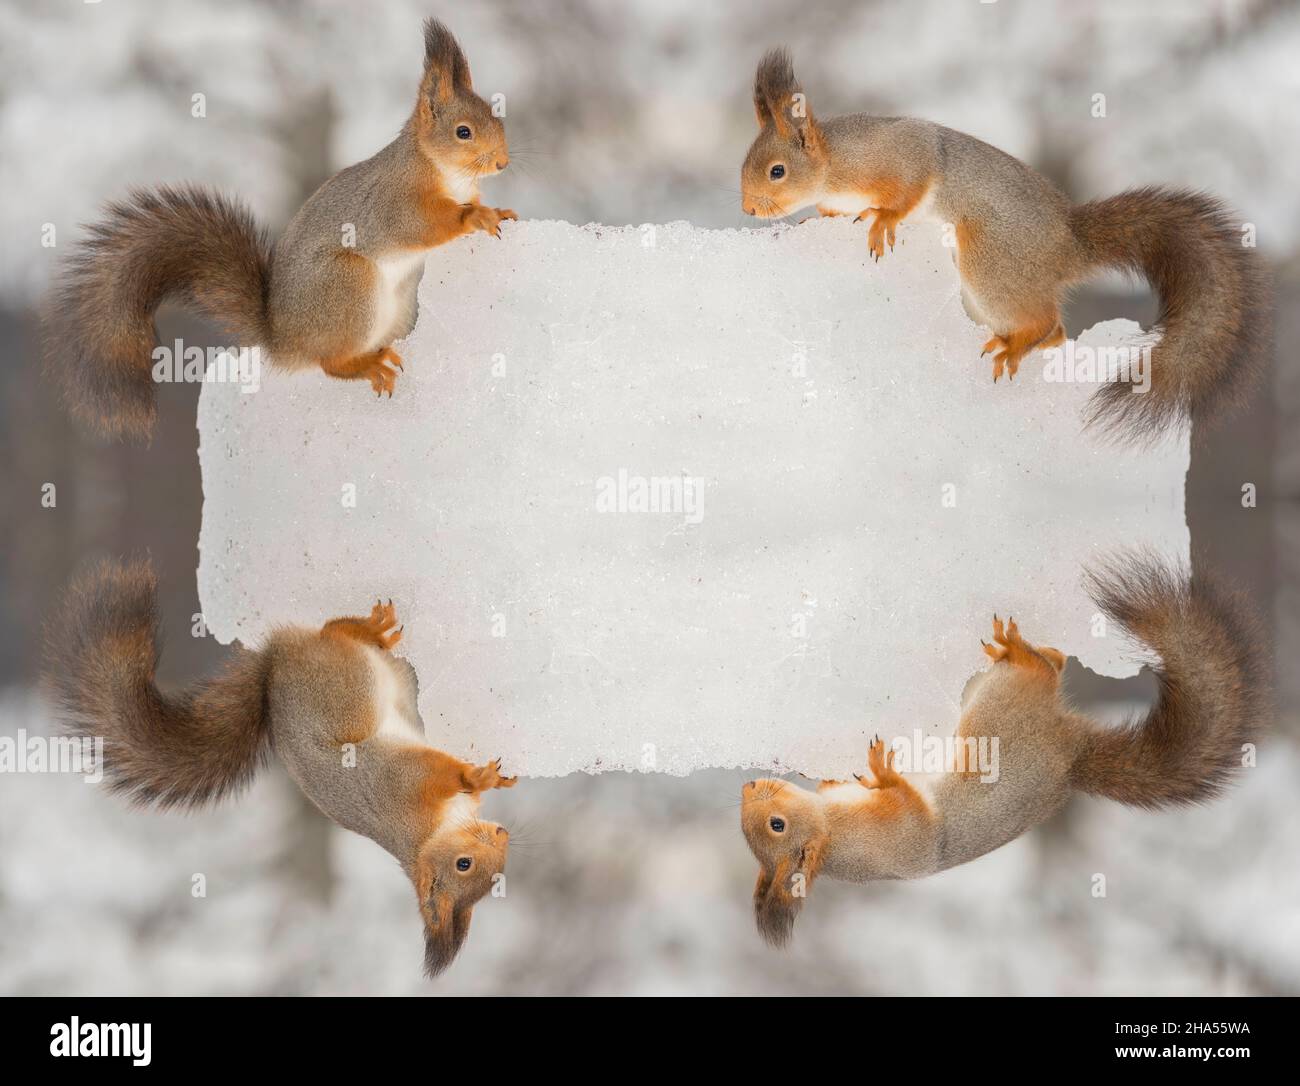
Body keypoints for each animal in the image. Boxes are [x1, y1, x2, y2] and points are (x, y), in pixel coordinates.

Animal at [42, 558, 517, 978]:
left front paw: (494, 781)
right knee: (334, 633)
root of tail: (273, 675)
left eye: (500, 866)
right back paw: (372, 628)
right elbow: (441, 773)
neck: (428, 834)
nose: (502, 834)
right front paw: (478, 776)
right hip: (345, 688)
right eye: (463, 866)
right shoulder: (401, 779)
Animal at [43, 18, 516, 442]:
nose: (502, 163)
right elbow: (426, 226)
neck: (443, 171)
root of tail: (283, 340)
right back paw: (368, 365)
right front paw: (474, 218)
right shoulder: (396, 205)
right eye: (463, 132)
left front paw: (492, 208)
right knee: (328, 364)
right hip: (347, 284)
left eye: (499, 120)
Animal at [740, 48, 1271, 442]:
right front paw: (823, 217)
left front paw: (883, 220)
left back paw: (1014, 349)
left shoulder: (905, 156)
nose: (747, 209)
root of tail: (1067, 245)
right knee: (1053, 330)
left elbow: (910, 188)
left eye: (777, 171)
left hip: (990, 261)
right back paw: (1009, 341)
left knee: (1048, 323)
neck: (835, 164)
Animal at [741, 553, 1268, 947]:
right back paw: (1017, 649)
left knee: (1050, 665)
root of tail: (1071, 752)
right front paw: (882, 769)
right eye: (776, 827)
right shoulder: (899, 832)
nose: (748, 786)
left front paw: (845, 774)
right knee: (1035, 671)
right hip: (997, 714)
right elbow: (910, 805)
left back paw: (1023, 647)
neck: (833, 830)